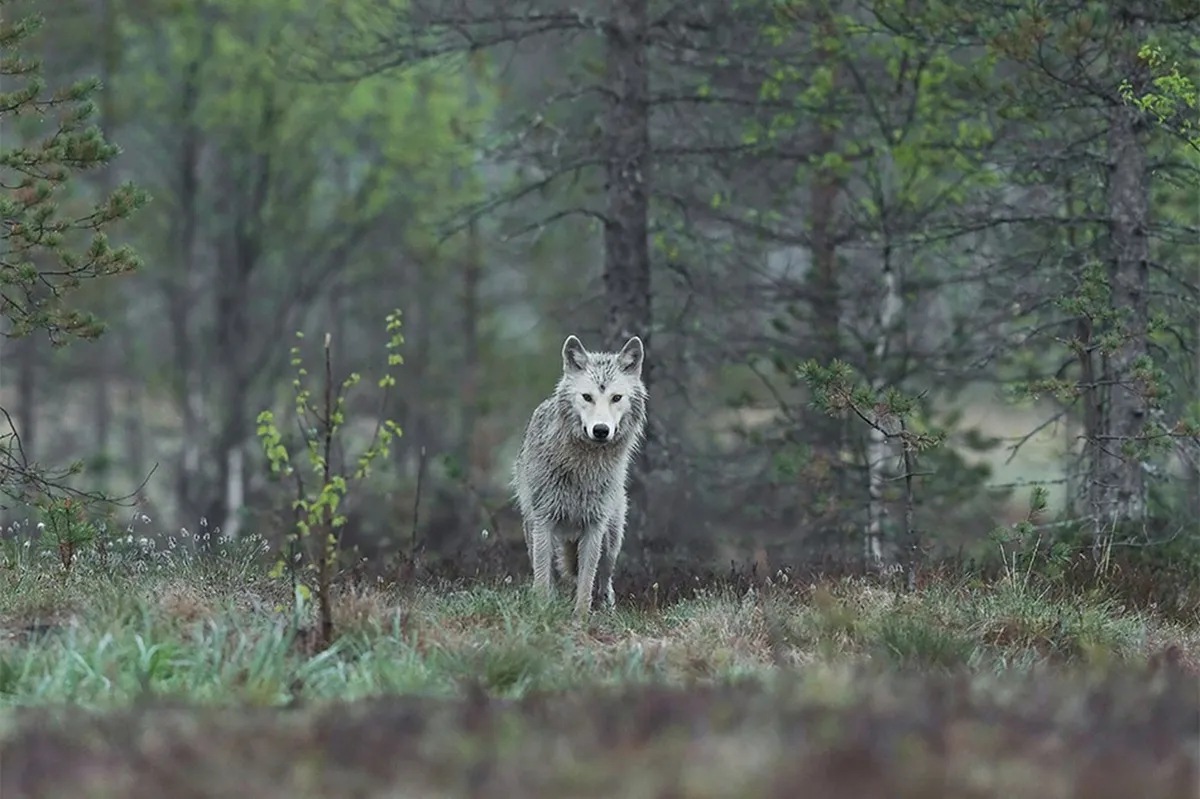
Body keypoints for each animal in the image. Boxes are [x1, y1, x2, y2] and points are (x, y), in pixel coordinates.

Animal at [511, 334, 648, 618]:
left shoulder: (595, 526)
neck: (583, 468)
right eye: (587, 397)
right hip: (533, 529)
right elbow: (543, 579)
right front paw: (542, 612)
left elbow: (586, 581)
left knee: (604, 579)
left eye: (616, 398)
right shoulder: (544, 521)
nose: (601, 430)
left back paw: (607, 609)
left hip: (612, 539)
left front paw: (581, 618)